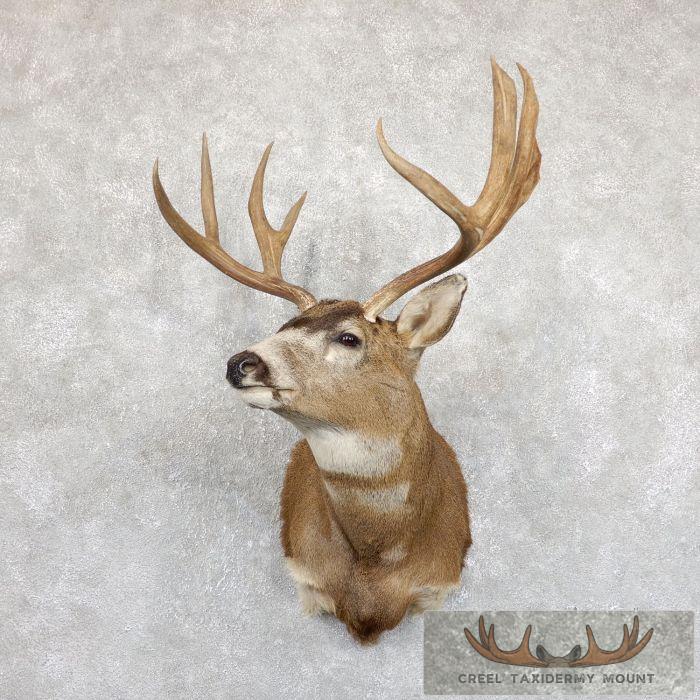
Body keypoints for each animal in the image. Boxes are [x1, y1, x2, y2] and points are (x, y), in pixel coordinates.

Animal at [152, 58, 540, 644]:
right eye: (284, 324)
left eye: (349, 338)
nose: (242, 362)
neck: (377, 560)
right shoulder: (305, 582)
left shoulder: (439, 587)